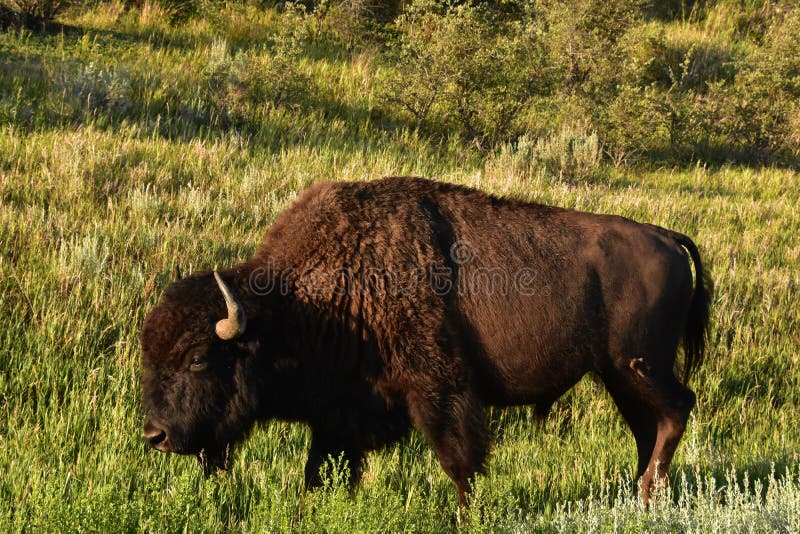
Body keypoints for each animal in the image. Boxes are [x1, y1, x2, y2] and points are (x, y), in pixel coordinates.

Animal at [140, 176, 711, 506]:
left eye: (198, 358)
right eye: (150, 355)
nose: (154, 436)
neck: (299, 302)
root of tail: (666, 236)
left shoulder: (440, 390)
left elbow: (460, 462)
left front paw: (465, 513)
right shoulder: (339, 413)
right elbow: (321, 469)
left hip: (641, 365)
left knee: (677, 409)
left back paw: (649, 495)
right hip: (617, 375)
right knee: (648, 427)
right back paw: (638, 496)